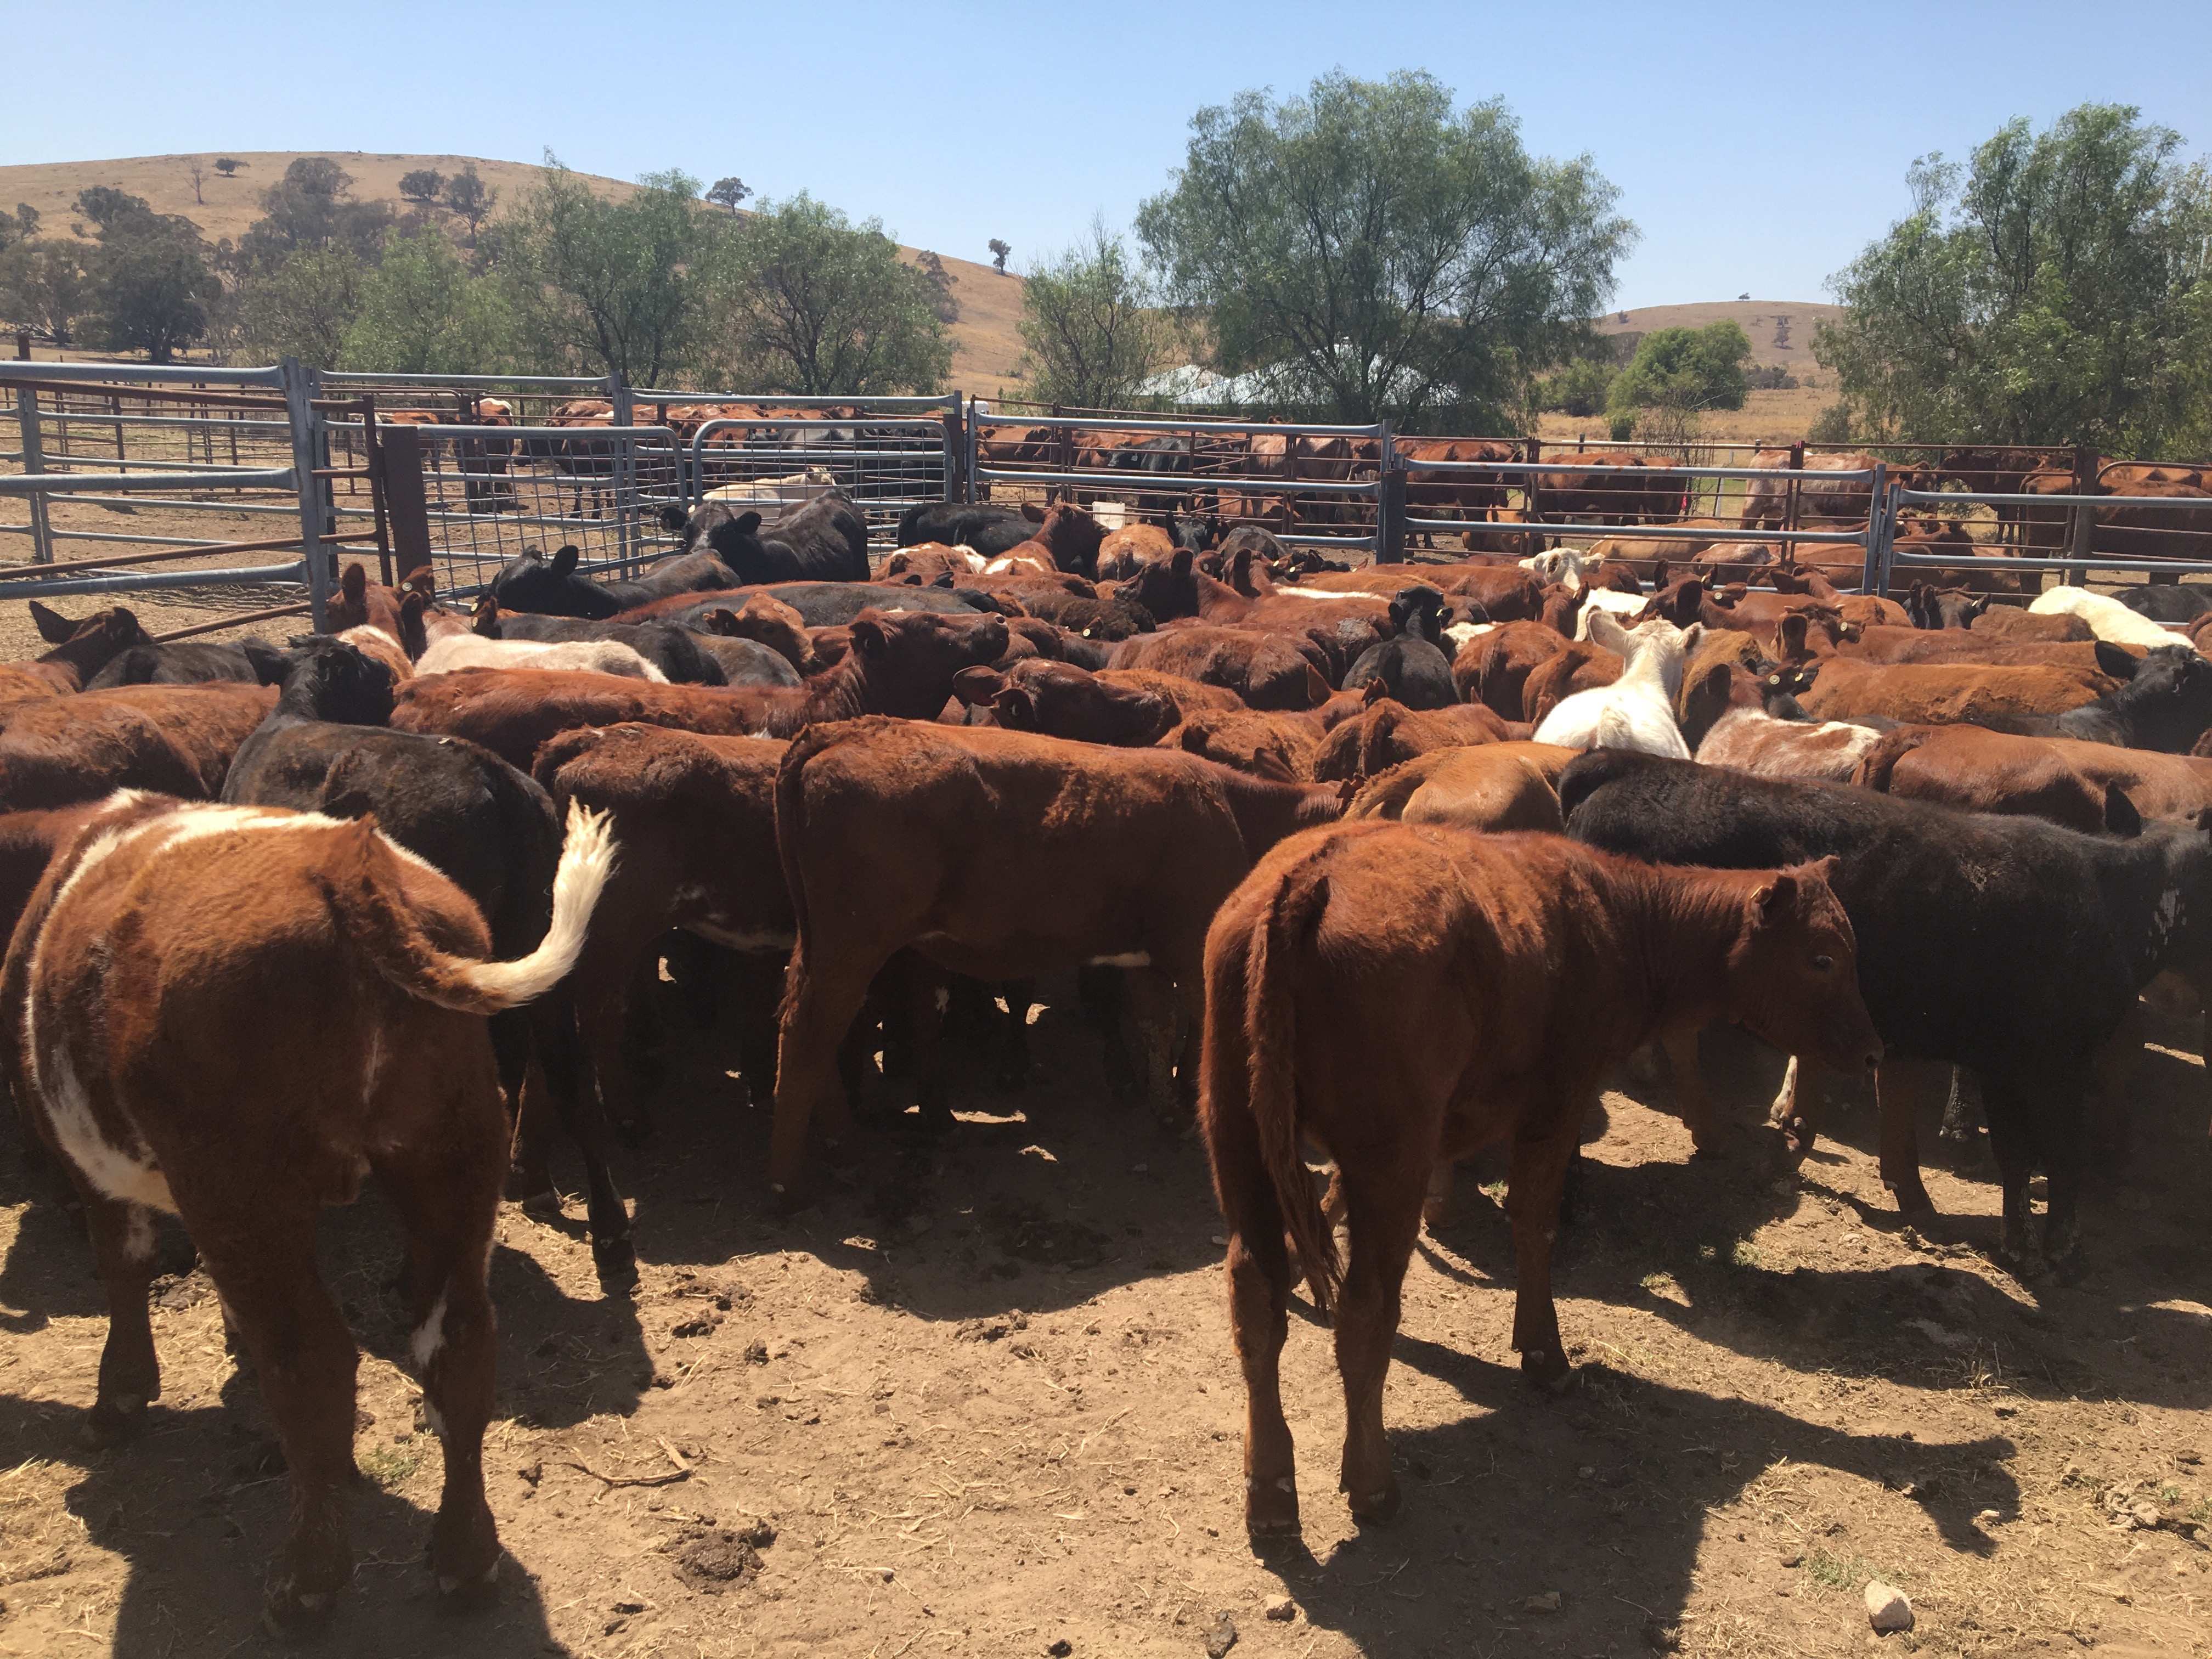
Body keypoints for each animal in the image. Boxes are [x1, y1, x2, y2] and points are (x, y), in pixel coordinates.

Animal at [3, 789, 614, 1632]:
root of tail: (348, 870)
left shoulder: (87, 1159)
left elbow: (122, 1272)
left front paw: (117, 1401)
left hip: (243, 1188)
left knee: (313, 1361)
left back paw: (305, 1585)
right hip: (450, 1149)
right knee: (458, 1347)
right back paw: (465, 1563)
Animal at [1200, 820, 1876, 1532]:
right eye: (1823, 959)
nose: (1873, 1051)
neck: (1620, 917)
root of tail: (1313, 874)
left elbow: (1325, 1202)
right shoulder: (1555, 1105)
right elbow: (1534, 1223)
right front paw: (1544, 1353)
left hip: (1238, 1134)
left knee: (1255, 1295)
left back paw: (1270, 1486)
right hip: (1389, 1163)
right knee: (1365, 1308)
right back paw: (1372, 1483)